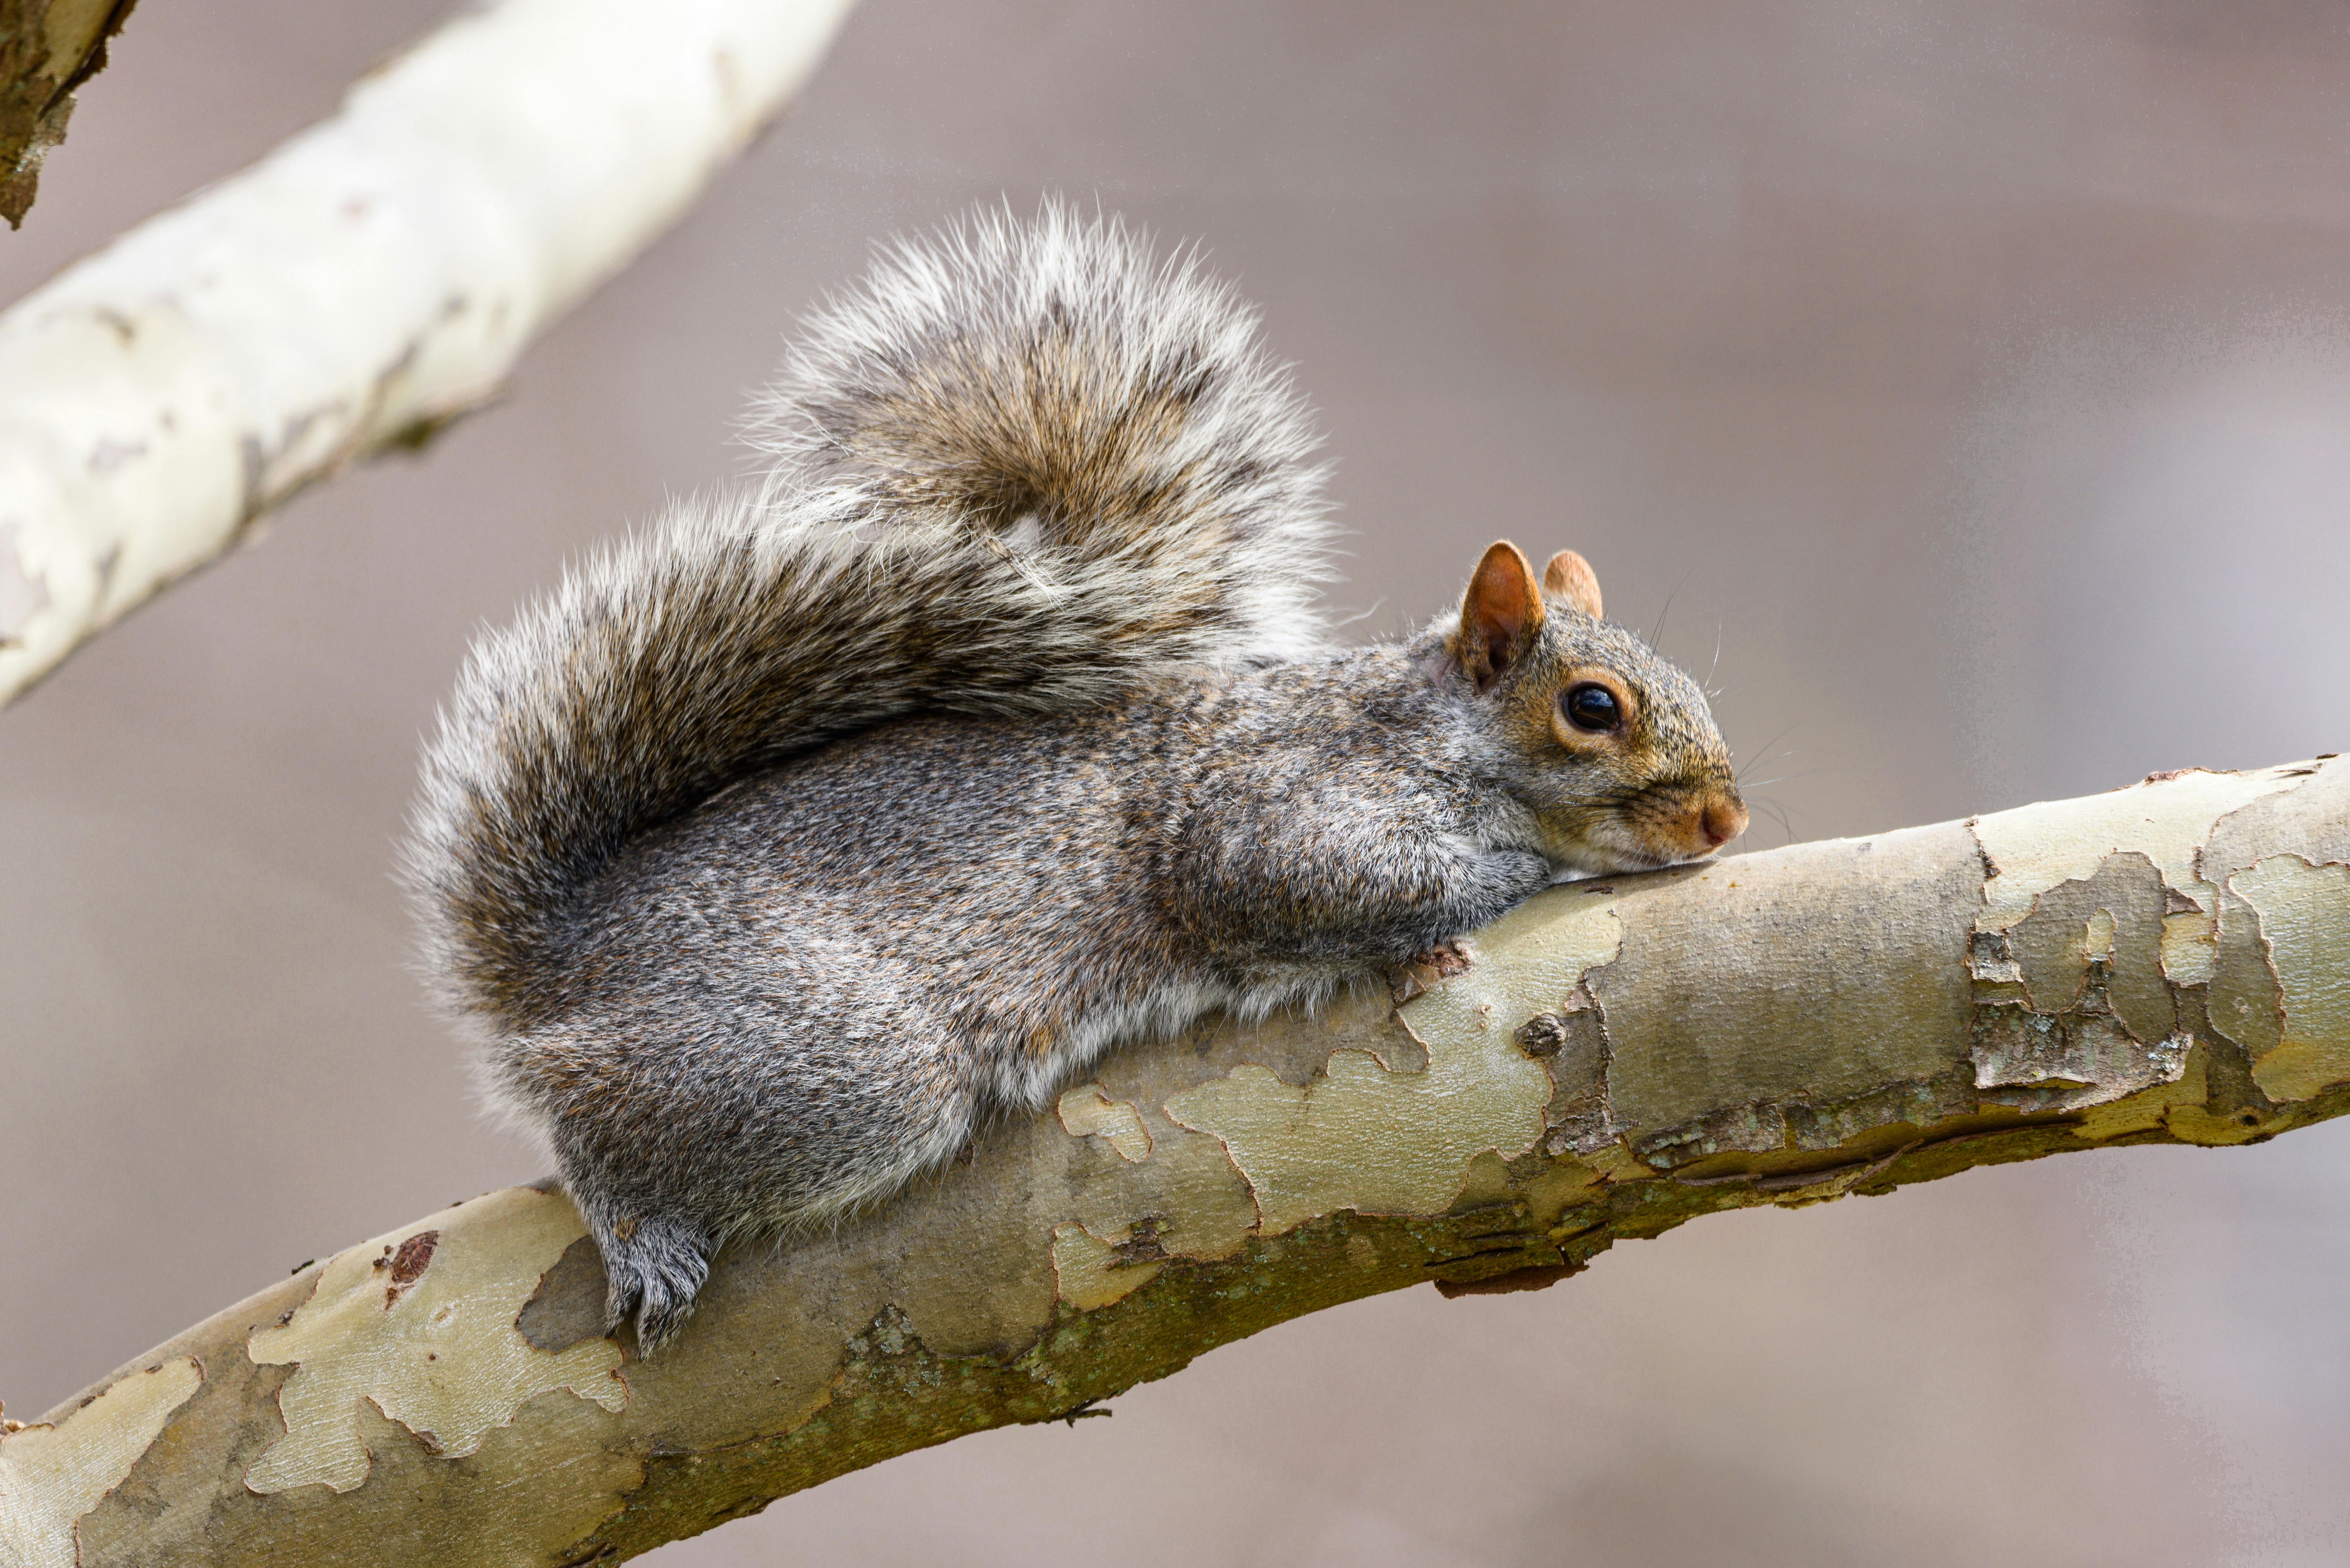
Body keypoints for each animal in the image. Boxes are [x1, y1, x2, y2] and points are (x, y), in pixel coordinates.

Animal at [403, 203, 1747, 1351]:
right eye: (1592, 708)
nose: (1725, 818)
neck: (1420, 727)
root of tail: (561, 958)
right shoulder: (1273, 815)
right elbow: (1319, 876)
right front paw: (1515, 869)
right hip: (838, 1062)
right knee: (591, 1116)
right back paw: (639, 1226)